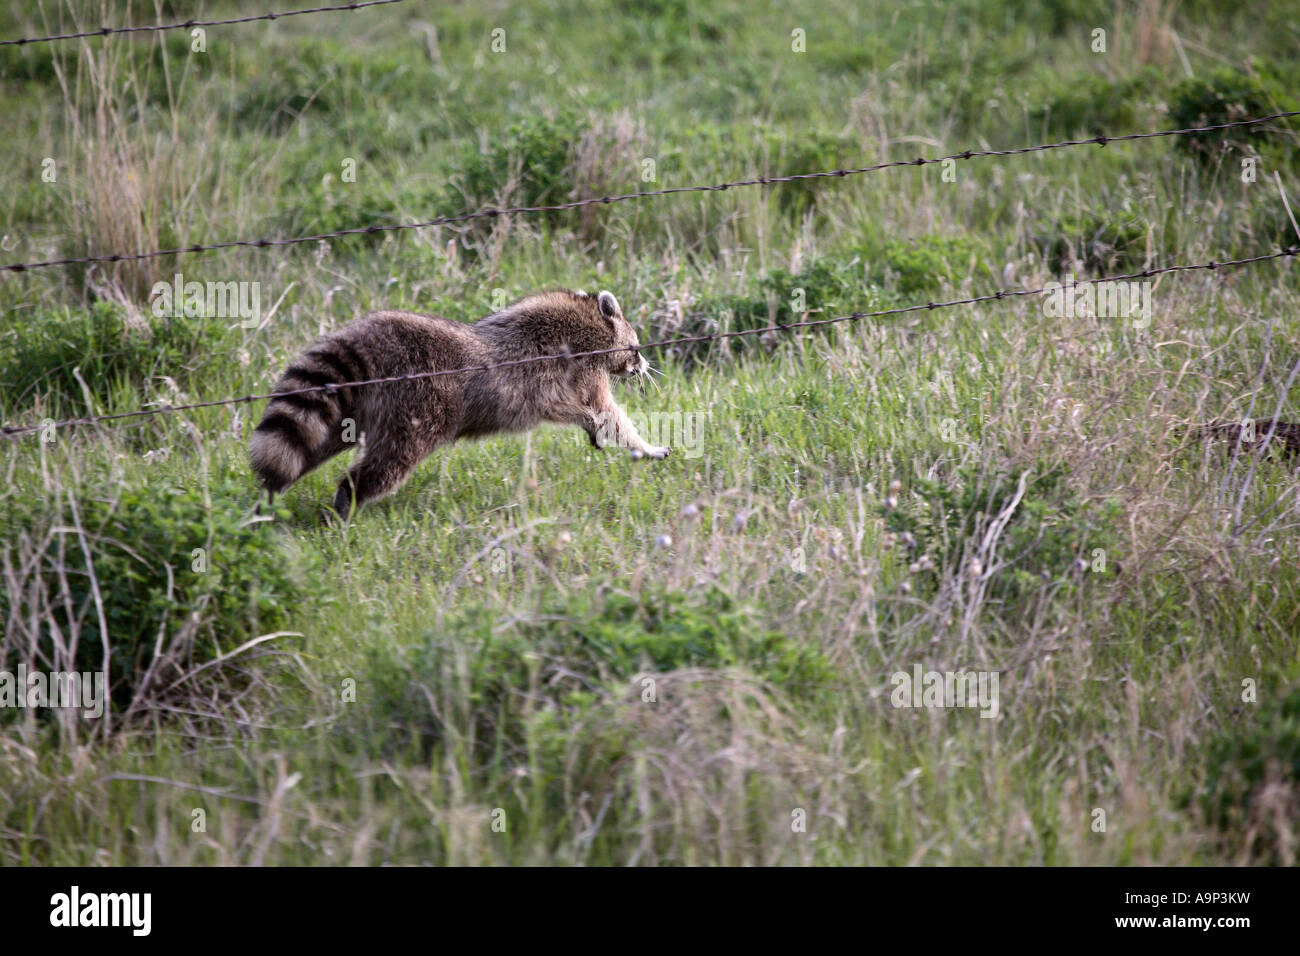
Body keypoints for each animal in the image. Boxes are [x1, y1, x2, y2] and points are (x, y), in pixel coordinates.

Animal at [249, 289, 669, 519]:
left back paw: (273, 494)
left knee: (309, 443)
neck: (588, 324)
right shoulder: (578, 369)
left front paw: (597, 432)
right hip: (417, 407)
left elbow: (586, 413)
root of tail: (372, 340)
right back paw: (348, 497)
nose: (645, 366)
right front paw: (644, 446)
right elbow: (607, 414)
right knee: (389, 463)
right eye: (636, 348)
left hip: (352, 405)